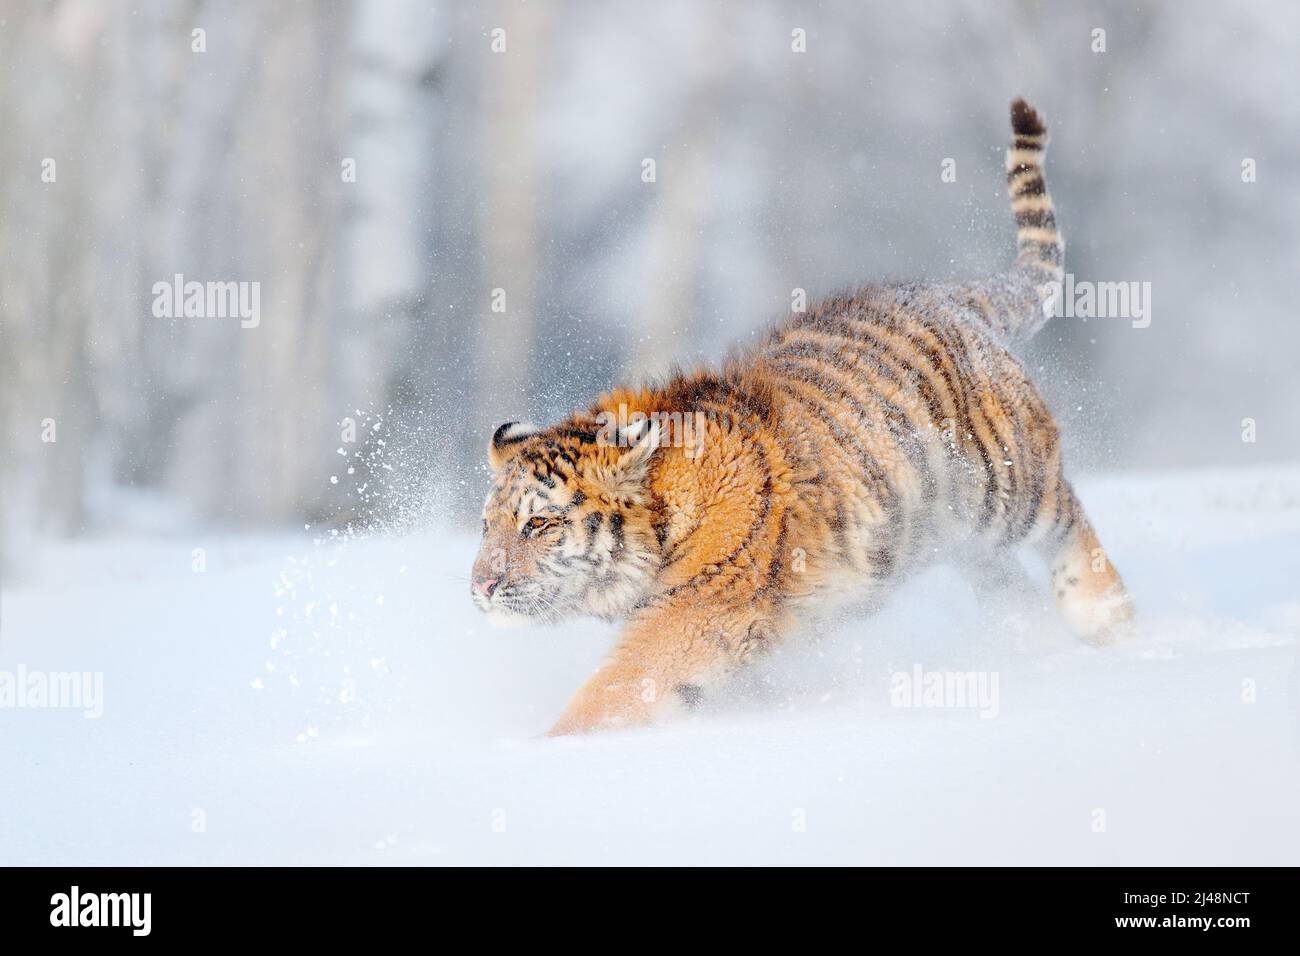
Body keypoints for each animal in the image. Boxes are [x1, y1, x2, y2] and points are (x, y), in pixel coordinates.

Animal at [471, 99, 1134, 735]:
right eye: (487, 526)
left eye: (538, 525)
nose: (480, 588)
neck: (661, 521)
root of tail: (953, 295)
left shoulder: (695, 616)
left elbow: (609, 697)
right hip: (949, 529)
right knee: (1004, 578)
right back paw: (1030, 640)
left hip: (1007, 484)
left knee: (1069, 522)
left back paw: (1112, 624)